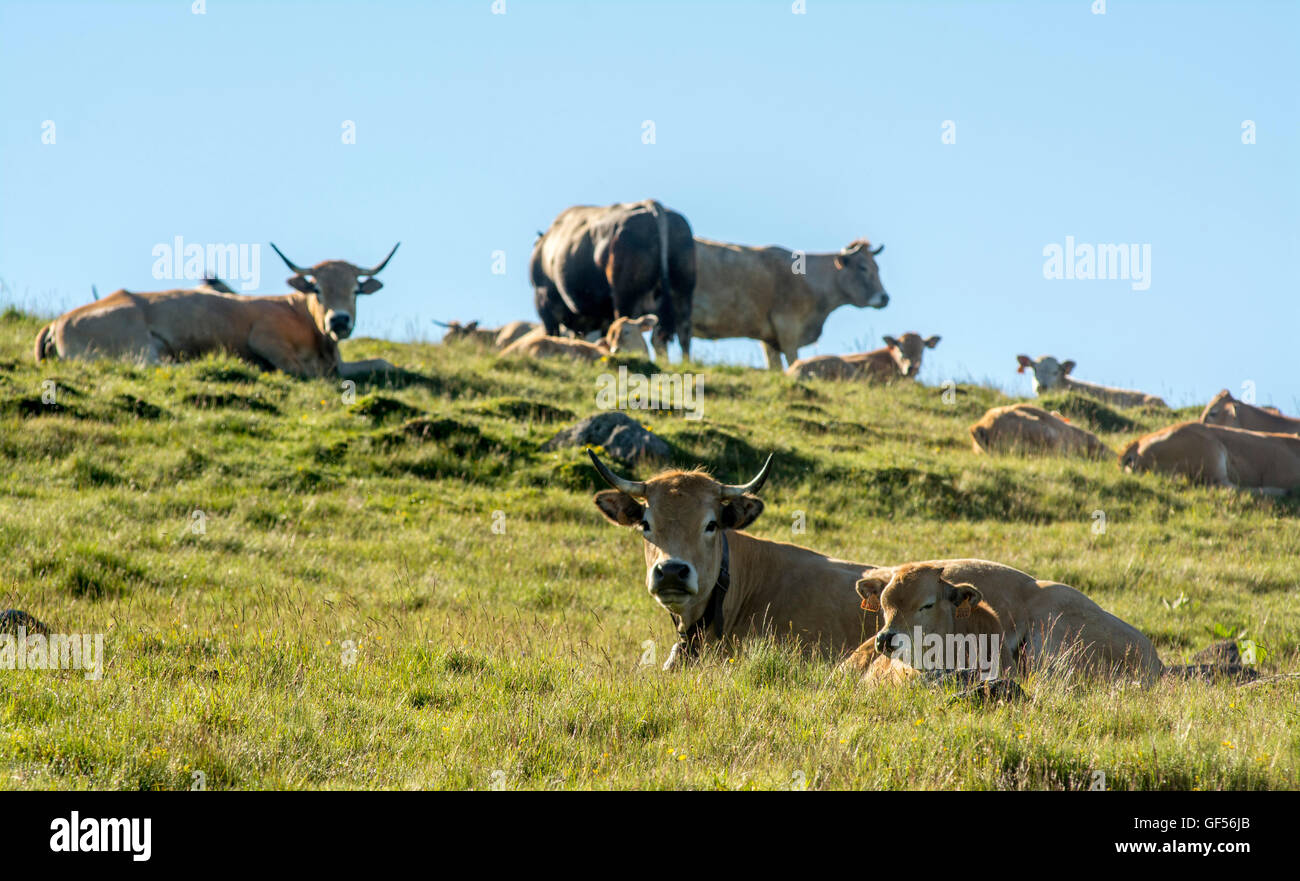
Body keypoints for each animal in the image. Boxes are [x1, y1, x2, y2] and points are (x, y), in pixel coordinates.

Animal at [35, 244, 400, 379]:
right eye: (317, 289)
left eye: (355, 290)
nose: (339, 320)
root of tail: (58, 322)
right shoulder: (263, 337)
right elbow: (304, 371)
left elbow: (383, 363)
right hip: (136, 343)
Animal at [691, 237, 889, 370]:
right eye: (863, 267)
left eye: (878, 268)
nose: (885, 297)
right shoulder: (788, 329)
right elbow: (793, 362)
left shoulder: (768, 337)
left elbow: (775, 368)